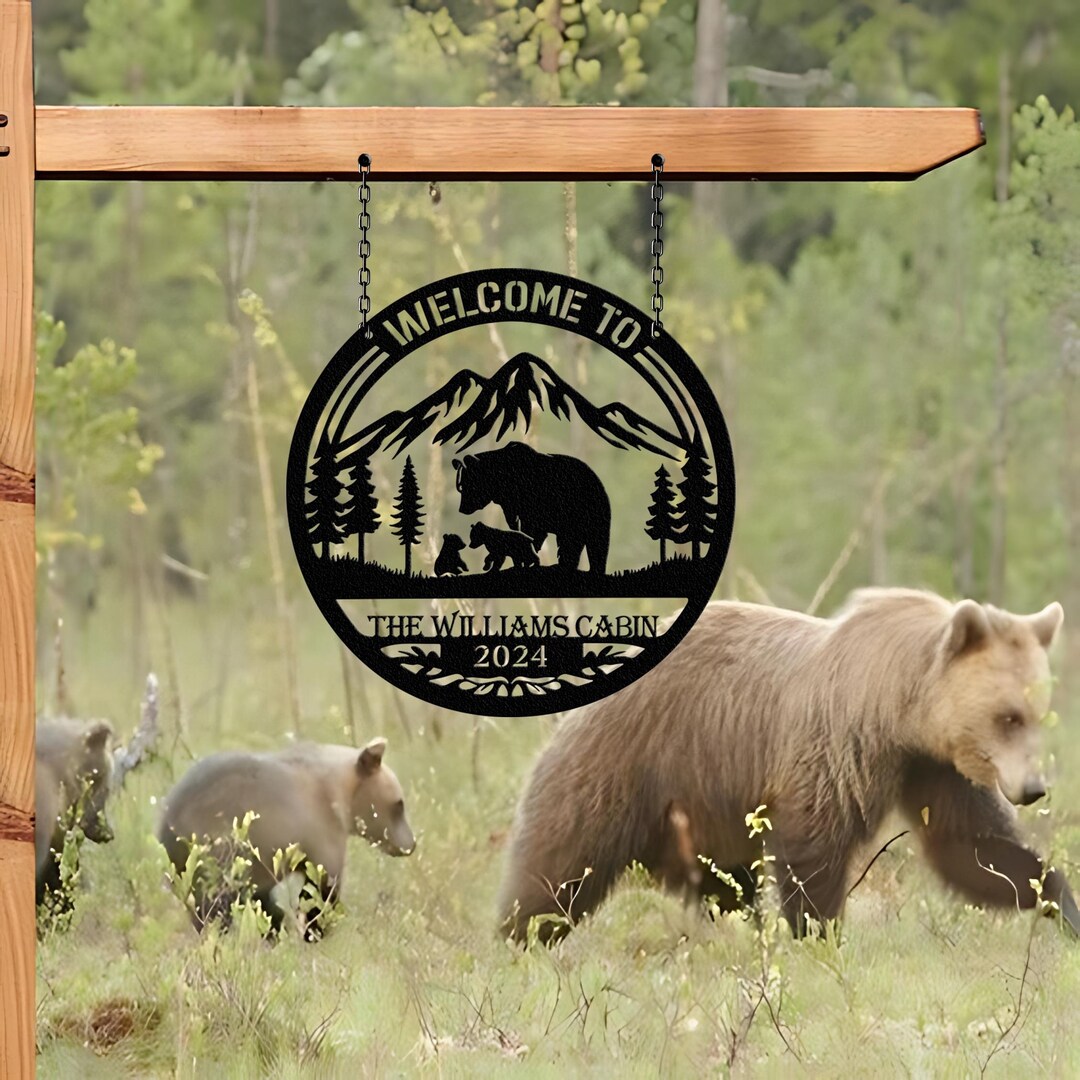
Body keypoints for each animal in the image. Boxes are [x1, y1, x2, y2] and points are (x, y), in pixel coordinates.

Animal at [157, 737, 414, 936]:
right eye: (399, 804)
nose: (410, 844)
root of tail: (166, 824)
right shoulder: (320, 835)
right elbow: (321, 889)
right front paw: (316, 930)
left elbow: (269, 905)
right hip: (214, 857)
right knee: (214, 906)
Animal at [452, 441, 610, 573]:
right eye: (460, 487)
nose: (462, 509)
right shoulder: (511, 505)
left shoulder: (534, 499)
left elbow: (532, 529)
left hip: (580, 510)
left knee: (576, 540)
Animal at [497, 589, 1080, 942]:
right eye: (1008, 716)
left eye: (1038, 713)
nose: (1032, 789)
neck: (897, 710)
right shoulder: (832, 749)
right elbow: (812, 849)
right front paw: (818, 935)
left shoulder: (933, 767)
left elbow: (972, 847)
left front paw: (1062, 902)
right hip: (626, 766)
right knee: (560, 867)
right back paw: (519, 938)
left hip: (703, 814)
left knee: (726, 888)